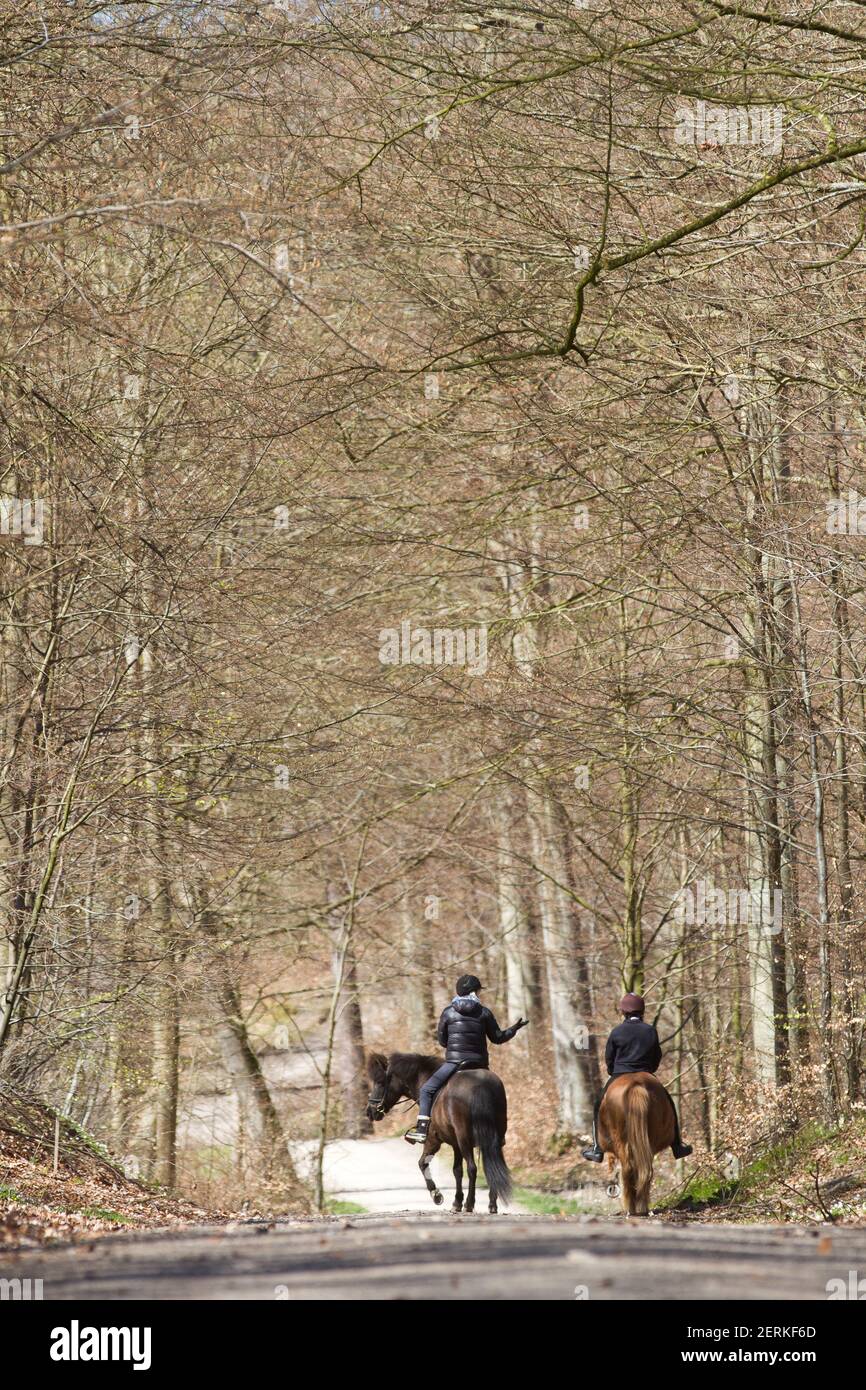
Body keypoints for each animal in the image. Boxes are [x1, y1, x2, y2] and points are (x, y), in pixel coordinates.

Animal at [365, 1051, 512, 1213]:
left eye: (380, 1082)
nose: (370, 1112)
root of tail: (480, 1085)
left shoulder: (433, 1141)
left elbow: (422, 1163)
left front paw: (437, 1195)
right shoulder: (455, 1145)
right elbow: (457, 1171)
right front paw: (457, 1201)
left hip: (464, 1140)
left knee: (472, 1168)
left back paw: (469, 1204)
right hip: (494, 1139)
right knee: (491, 1167)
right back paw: (492, 1205)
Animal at [598, 1071, 675, 1216]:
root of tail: (636, 1085)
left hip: (621, 1140)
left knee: (628, 1169)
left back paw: (630, 1208)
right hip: (650, 1139)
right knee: (646, 1170)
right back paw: (643, 1207)